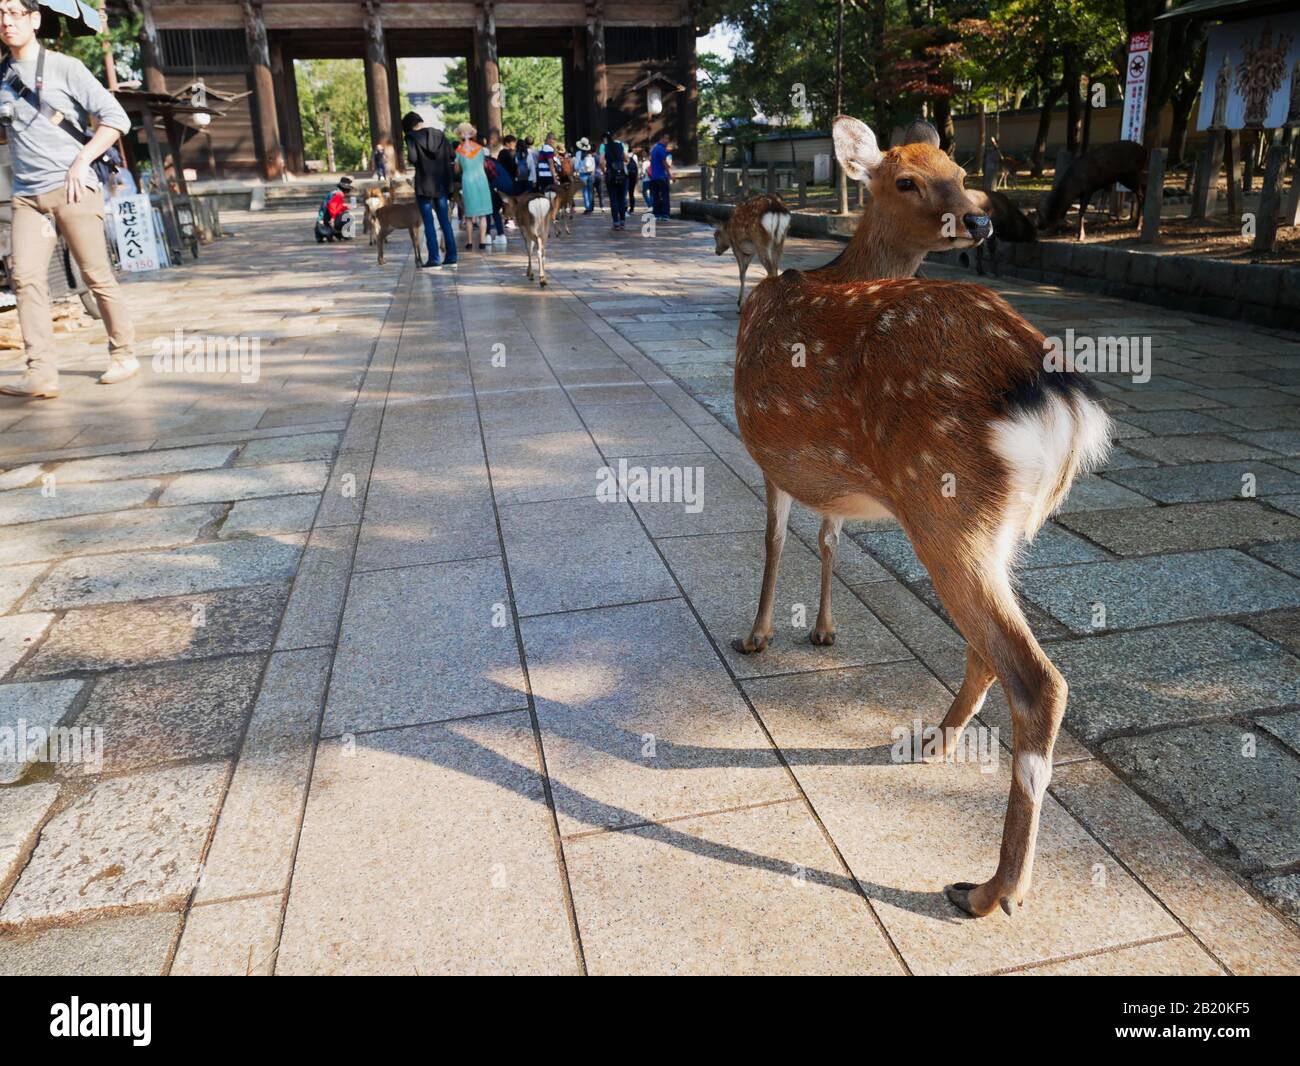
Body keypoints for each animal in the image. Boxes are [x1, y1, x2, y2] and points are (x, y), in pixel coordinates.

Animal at [731, 114, 1112, 918]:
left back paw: (992, 890)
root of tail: (1058, 395)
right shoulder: (833, 484)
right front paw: (820, 628)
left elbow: (776, 539)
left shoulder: (765, 456)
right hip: (999, 527)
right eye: (908, 178)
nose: (978, 218)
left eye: (961, 171)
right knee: (987, 648)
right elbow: (827, 536)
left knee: (1036, 676)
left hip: (942, 501)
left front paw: (756, 635)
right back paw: (935, 745)